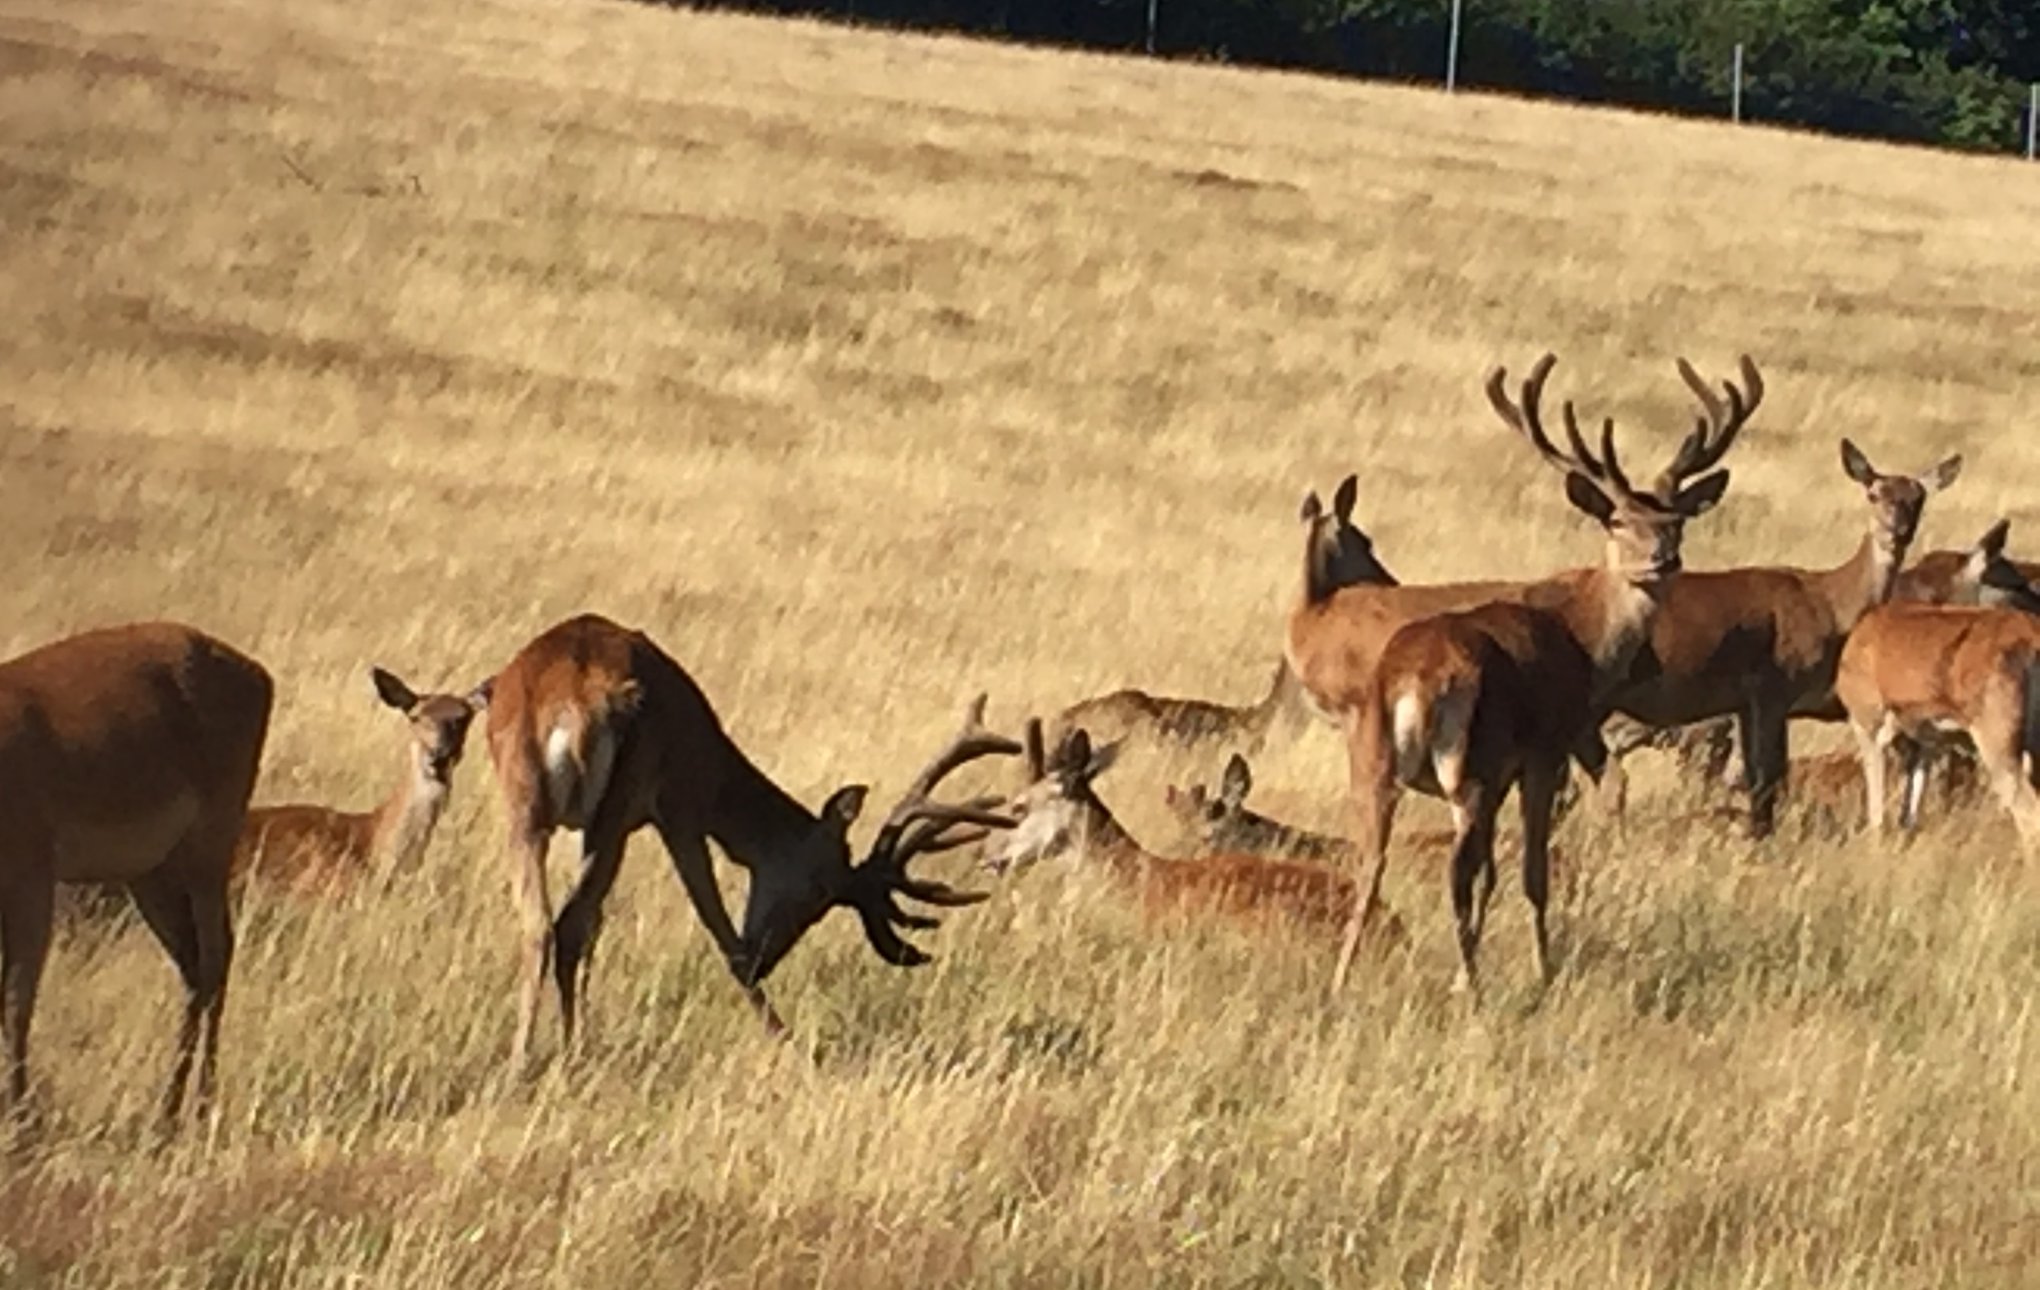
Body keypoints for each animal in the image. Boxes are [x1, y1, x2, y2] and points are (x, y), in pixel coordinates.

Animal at [0, 622, 273, 1127]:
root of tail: (253, 670)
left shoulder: (32, 879)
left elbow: (15, 1000)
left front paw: (22, 1121)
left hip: (206, 858)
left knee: (215, 959)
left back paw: (197, 1109)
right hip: (152, 877)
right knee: (193, 967)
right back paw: (168, 1111)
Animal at [473, 613, 1019, 1072]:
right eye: (822, 891)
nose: (766, 958)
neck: (714, 766)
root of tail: (575, 703)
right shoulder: (678, 808)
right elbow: (719, 932)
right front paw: (788, 1041)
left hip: (525, 804)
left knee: (541, 923)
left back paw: (524, 1060)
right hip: (617, 804)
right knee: (569, 924)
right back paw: (569, 1055)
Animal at [1330, 352, 1742, 996]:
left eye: (1677, 521)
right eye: (1617, 522)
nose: (1663, 559)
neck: (1583, 640)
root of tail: (1417, 677)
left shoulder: (1507, 770)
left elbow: (1495, 875)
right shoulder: (1545, 752)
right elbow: (1530, 870)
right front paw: (1542, 968)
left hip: (1371, 760)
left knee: (1371, 863)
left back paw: (1342, 982)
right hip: (1468, 762)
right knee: (1455, 870)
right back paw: (1468, 983)